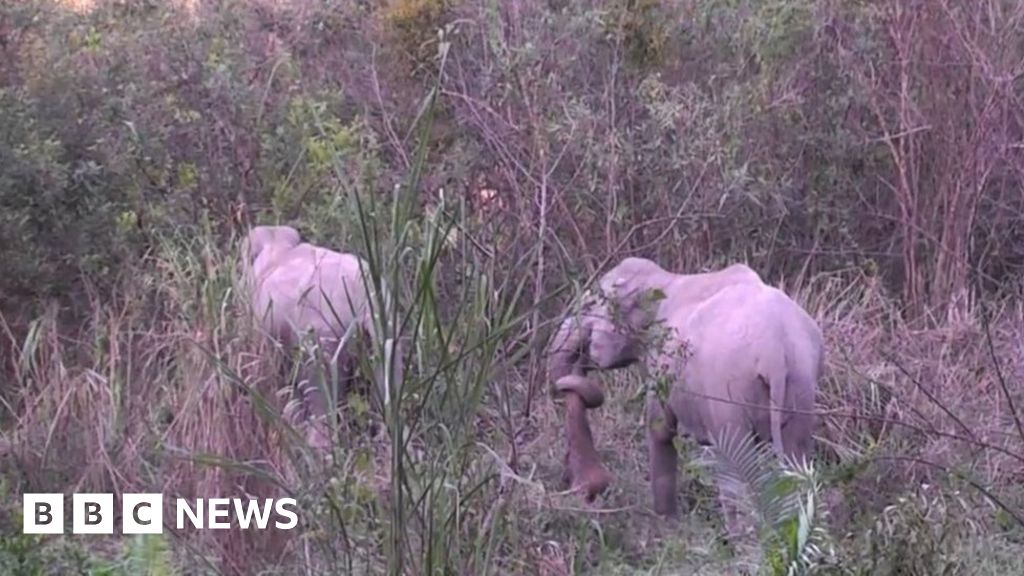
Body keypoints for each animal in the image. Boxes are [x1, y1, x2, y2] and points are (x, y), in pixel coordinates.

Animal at [545, 257, 823, 537]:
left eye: (590, 306)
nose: (587, 488)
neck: (665, 278)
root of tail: (775, 350)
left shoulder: (661, 360)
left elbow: (660, 428)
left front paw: (666, 526)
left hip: (728, 390)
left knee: (738, 465)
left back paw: (741, 538)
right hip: (801, 384)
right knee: (795, 459)